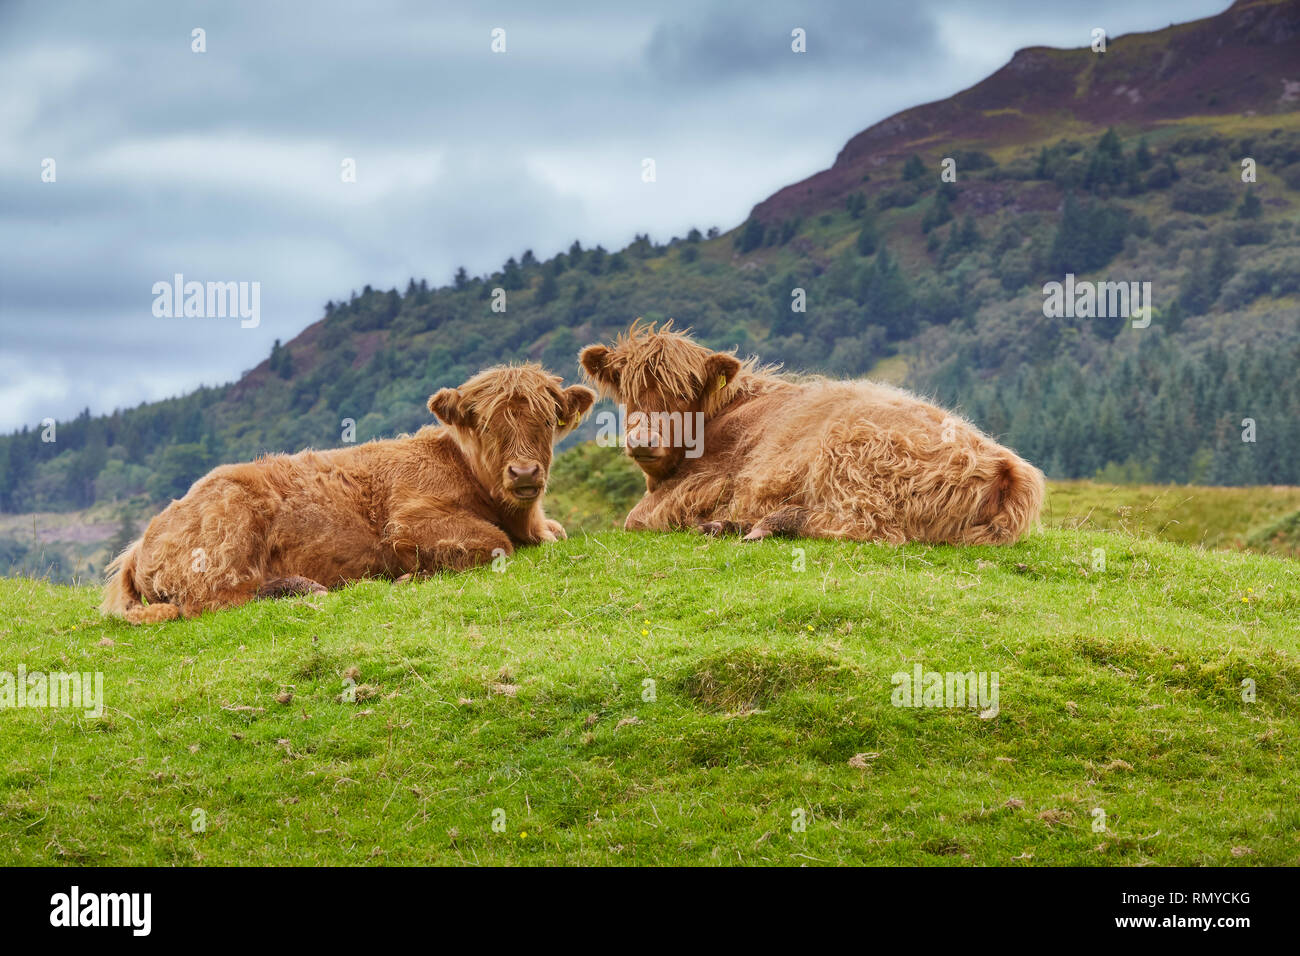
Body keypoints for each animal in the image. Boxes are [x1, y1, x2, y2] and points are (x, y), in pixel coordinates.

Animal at [101, 364, 595, 623]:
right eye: (489, 424)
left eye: (547, 420)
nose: (524, 471)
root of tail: (141, 543)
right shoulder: (410, 522)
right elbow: (497, 544)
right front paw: (407, 578)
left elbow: (555, 533)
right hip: (225, 537)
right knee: (212, 602)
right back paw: (306, 589)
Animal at [579, 321, 1044, 545]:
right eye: (628, 391)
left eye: (682, 393)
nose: (642, 441)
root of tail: (1005, 465)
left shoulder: (712, 482)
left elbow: (636, 518)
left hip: (849, 459)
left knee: (871, 530)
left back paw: (767, 523)